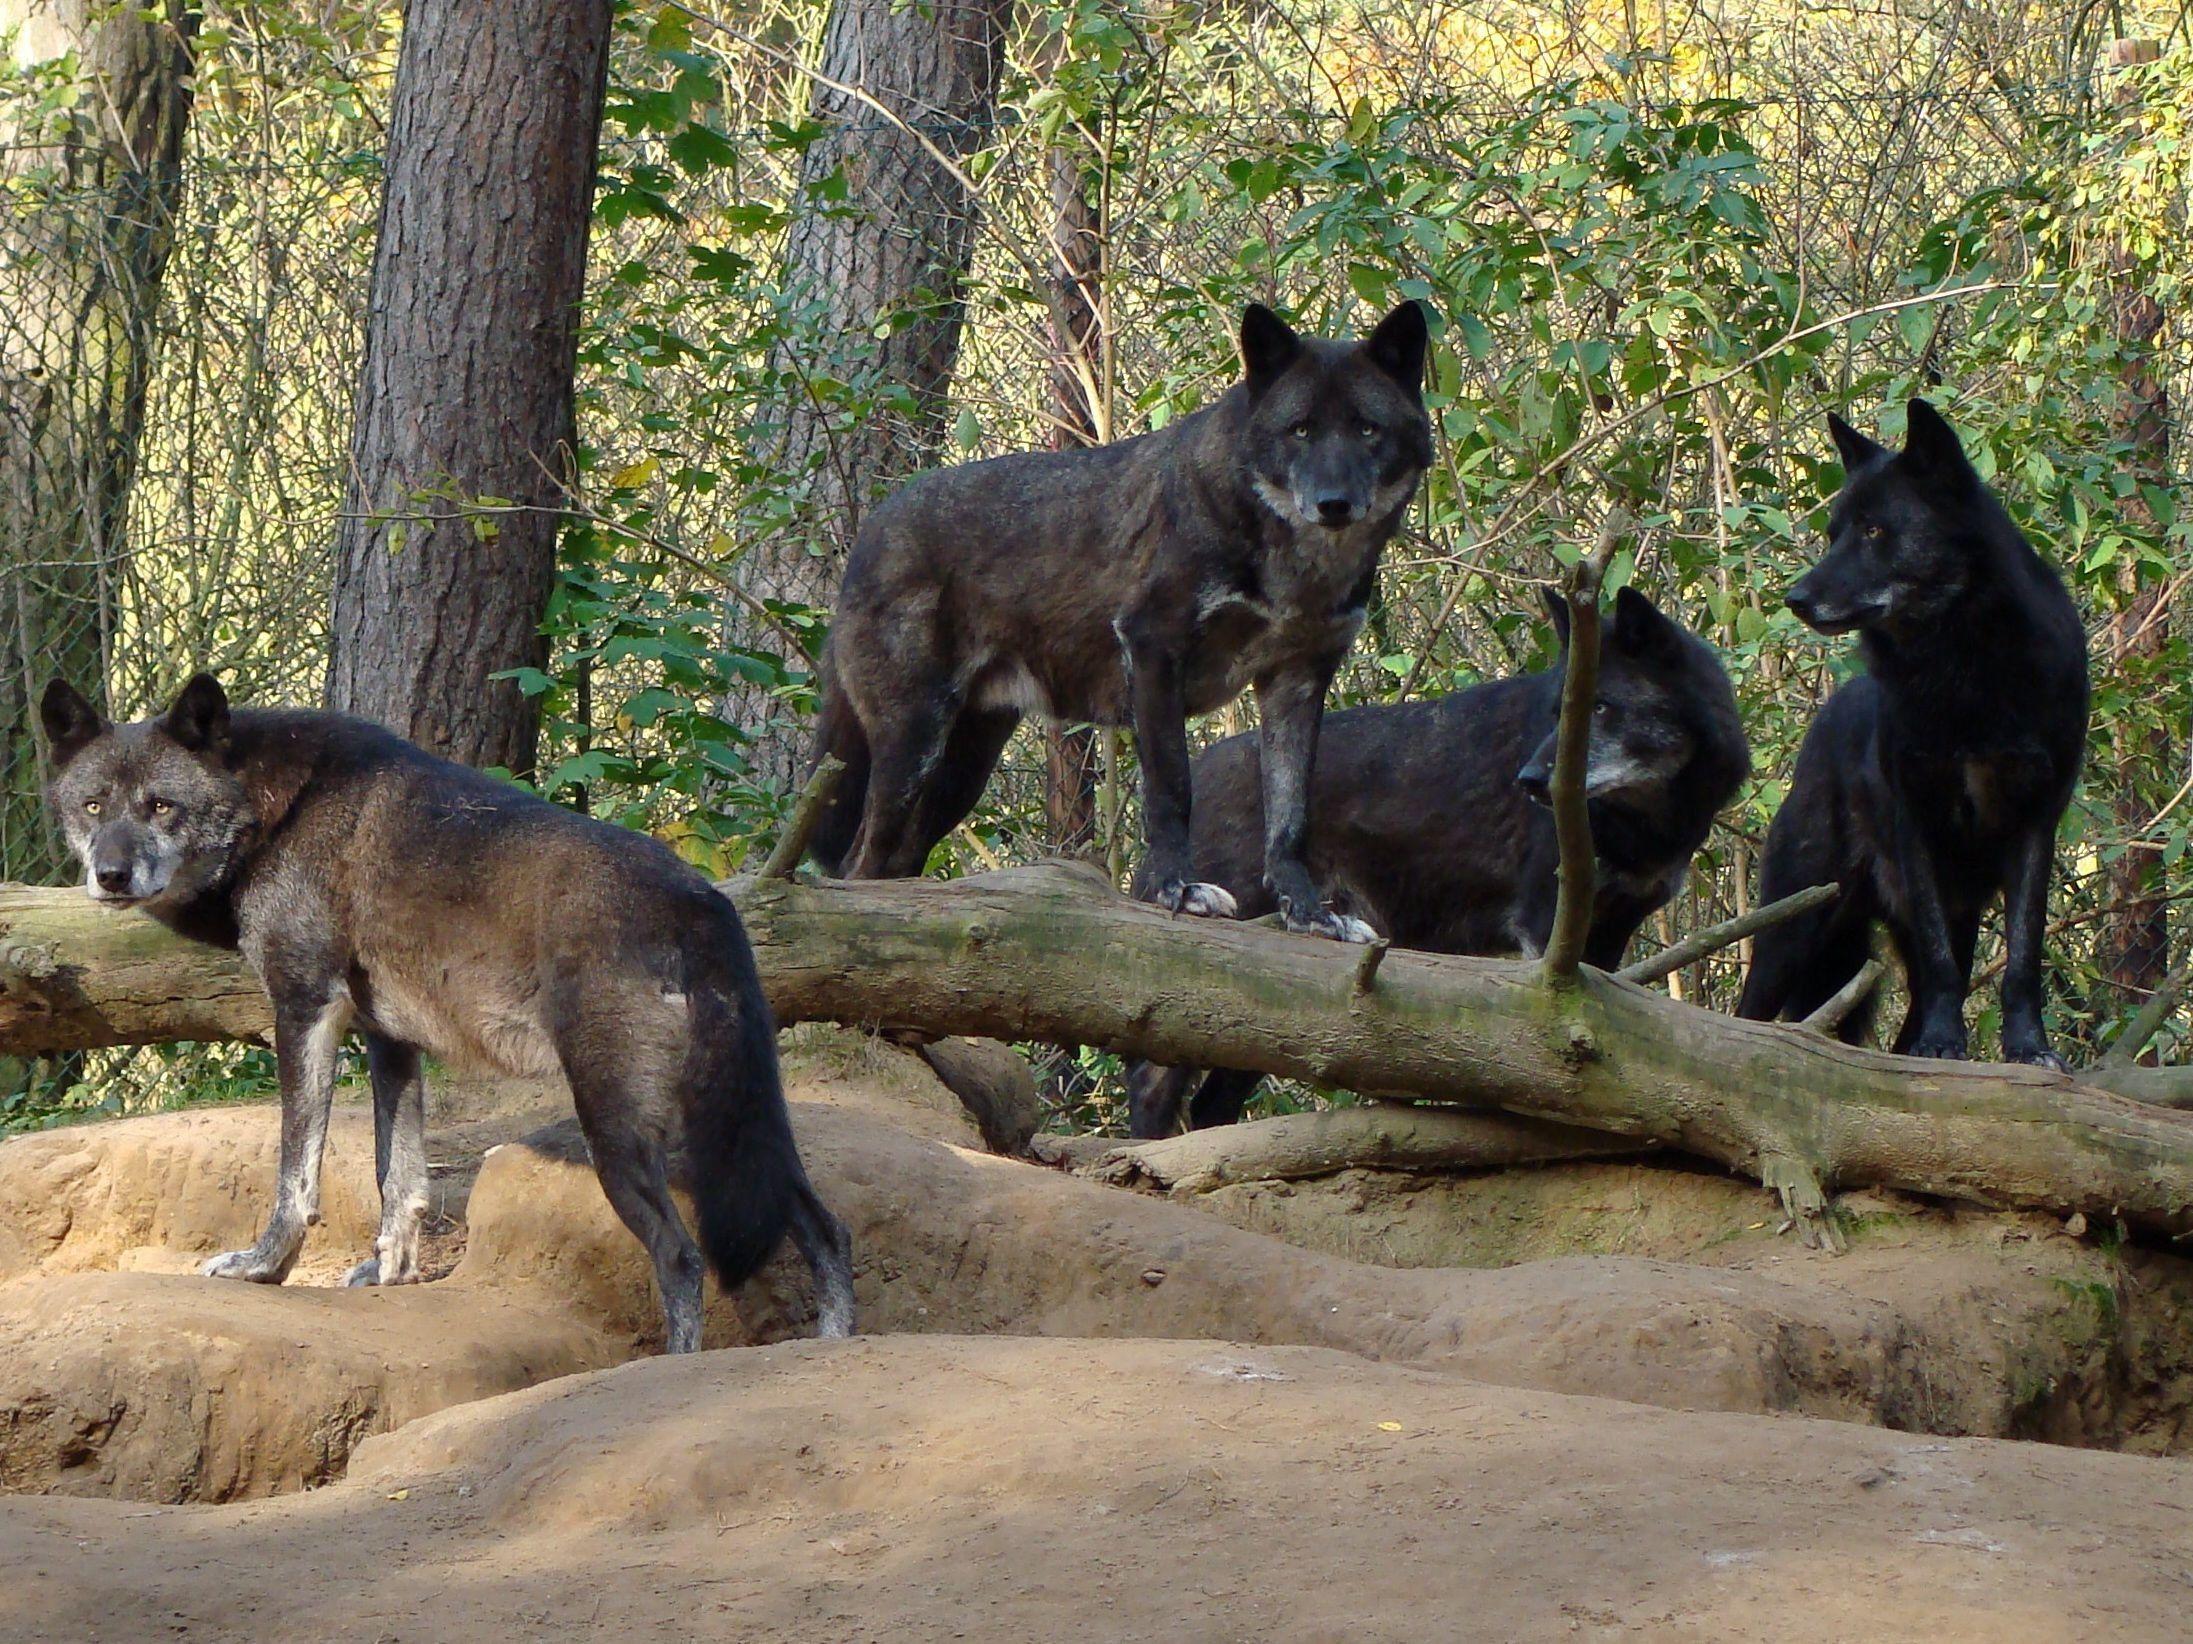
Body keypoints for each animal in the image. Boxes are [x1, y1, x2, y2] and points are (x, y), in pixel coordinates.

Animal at [39, 673, 855, 1351]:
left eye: (161, 806)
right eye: (92, 806)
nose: (110, 875)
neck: (276, 809)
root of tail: (700, 903)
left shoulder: (303, 1009)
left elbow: (295, 1175)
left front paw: (263, 1267)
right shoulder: (389, 1040)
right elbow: (397, 1177)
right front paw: (390, 1275)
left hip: (623, 1133)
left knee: (682, 1259)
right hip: (732, 1127)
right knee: (826, 1230)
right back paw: (834, 1348)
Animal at [806, 300, 1433, 942]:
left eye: (1367, 429)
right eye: (1301, 429)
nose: (1334, 504)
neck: (1295, 569)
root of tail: (868, 534)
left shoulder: (1297, 682)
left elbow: (1290, 821)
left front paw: (1309, 915)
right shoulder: (1153, 649)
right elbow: (1172, 790)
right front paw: (1175, 890)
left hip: (959, 772)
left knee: (891, 866)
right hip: (915, 744)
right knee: (857, 867)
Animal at [1126, 585, 1751, 1135]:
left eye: (1599, 707)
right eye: (1560, 713)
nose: (1527, 781)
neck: (1648, 823)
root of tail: (1200, 769)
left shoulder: (1612, 931)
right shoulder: (1544, 928)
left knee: (1209, 1104)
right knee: (1152, 1087)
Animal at [1736, 400, 2089, 1067]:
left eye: (1875, 532)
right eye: (1834, 535)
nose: (1795, 599)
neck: (1961, 669)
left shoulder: (2037, 822)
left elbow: (2023, 959)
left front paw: (2029, 1049)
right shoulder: (1916, 823)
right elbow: (1941, 960)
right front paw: (1946, 1045)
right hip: (1795, 926)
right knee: (1747, 1013)